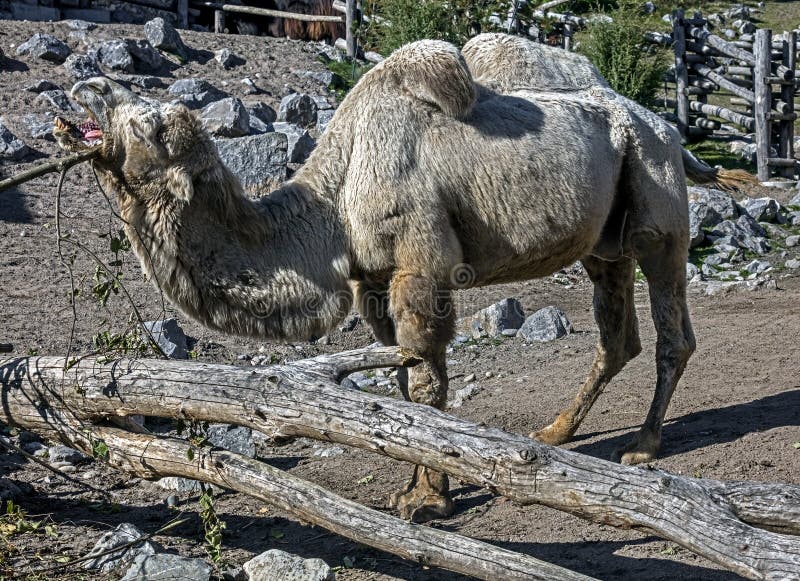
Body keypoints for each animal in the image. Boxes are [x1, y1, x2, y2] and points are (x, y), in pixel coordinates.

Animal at [55, 36, 707, 522]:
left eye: (149, 124)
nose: (88, 83)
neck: (336, 203)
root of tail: (670, 131)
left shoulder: (422, 265)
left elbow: (425, 380)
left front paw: (429, 500)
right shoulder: (370, 279)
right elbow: (403, 381)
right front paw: (420, 485)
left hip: (657, 202)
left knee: (672, 324)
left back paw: (643, 445)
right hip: (603, 240)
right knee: (616, 332)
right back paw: (554, 431)